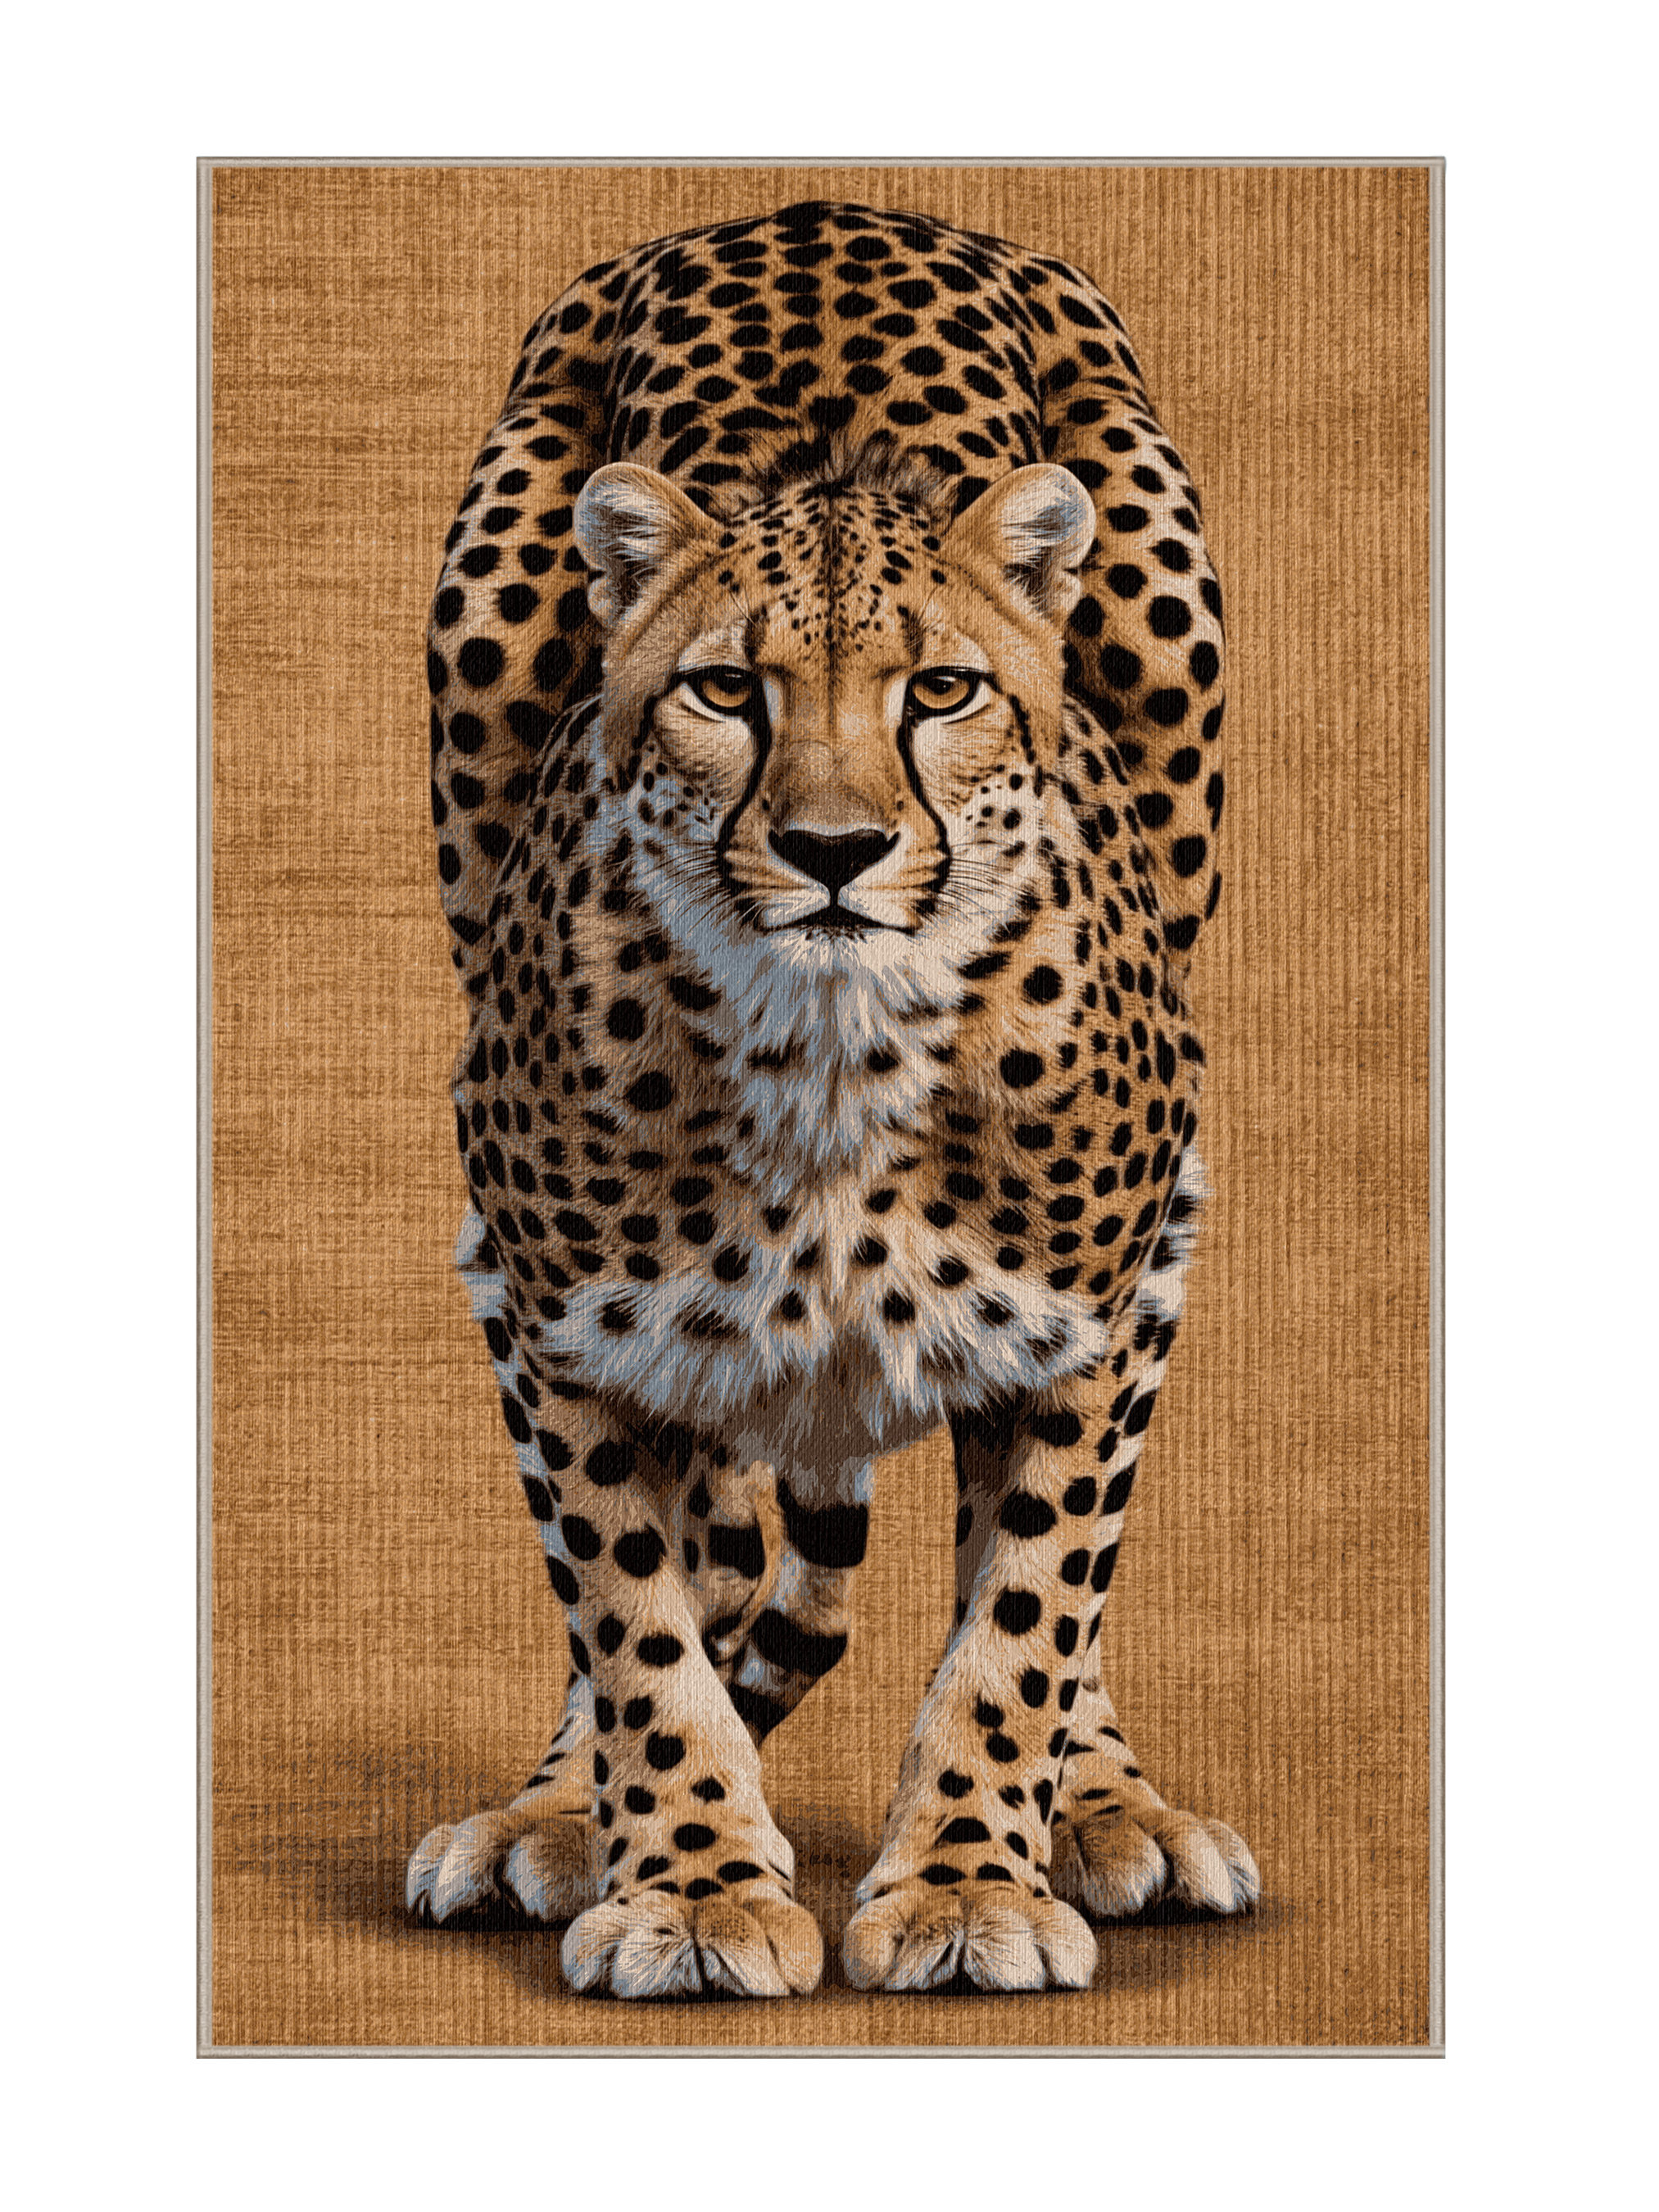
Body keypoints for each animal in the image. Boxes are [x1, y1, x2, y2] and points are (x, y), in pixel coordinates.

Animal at [407, 199, 1258, 1999]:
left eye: (940, 691)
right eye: (727, 691)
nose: (834, 849)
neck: (831, 1042)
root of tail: (825, 205)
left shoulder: (1107, 1299)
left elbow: (1031, 1605)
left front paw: (965, 1879)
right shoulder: (546, 1305)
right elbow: (630, 1614)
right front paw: (688, 1881)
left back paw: (1106, 1806)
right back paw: (551, 1813)